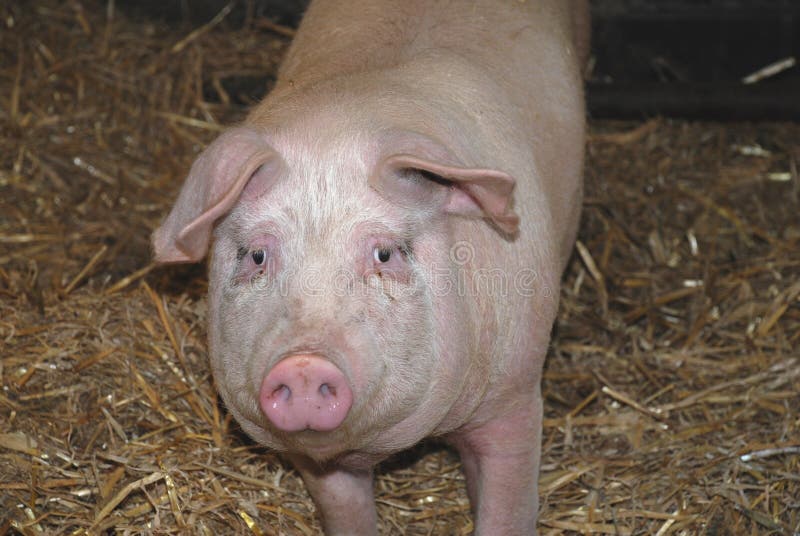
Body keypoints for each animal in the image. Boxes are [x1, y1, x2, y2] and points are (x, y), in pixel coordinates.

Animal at [152, 0, 589, 533]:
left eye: (383, 253)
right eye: (256, 255)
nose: (303, 363)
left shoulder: (515, 394)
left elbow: (507, 508)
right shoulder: (317, 458)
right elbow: (346, 511)